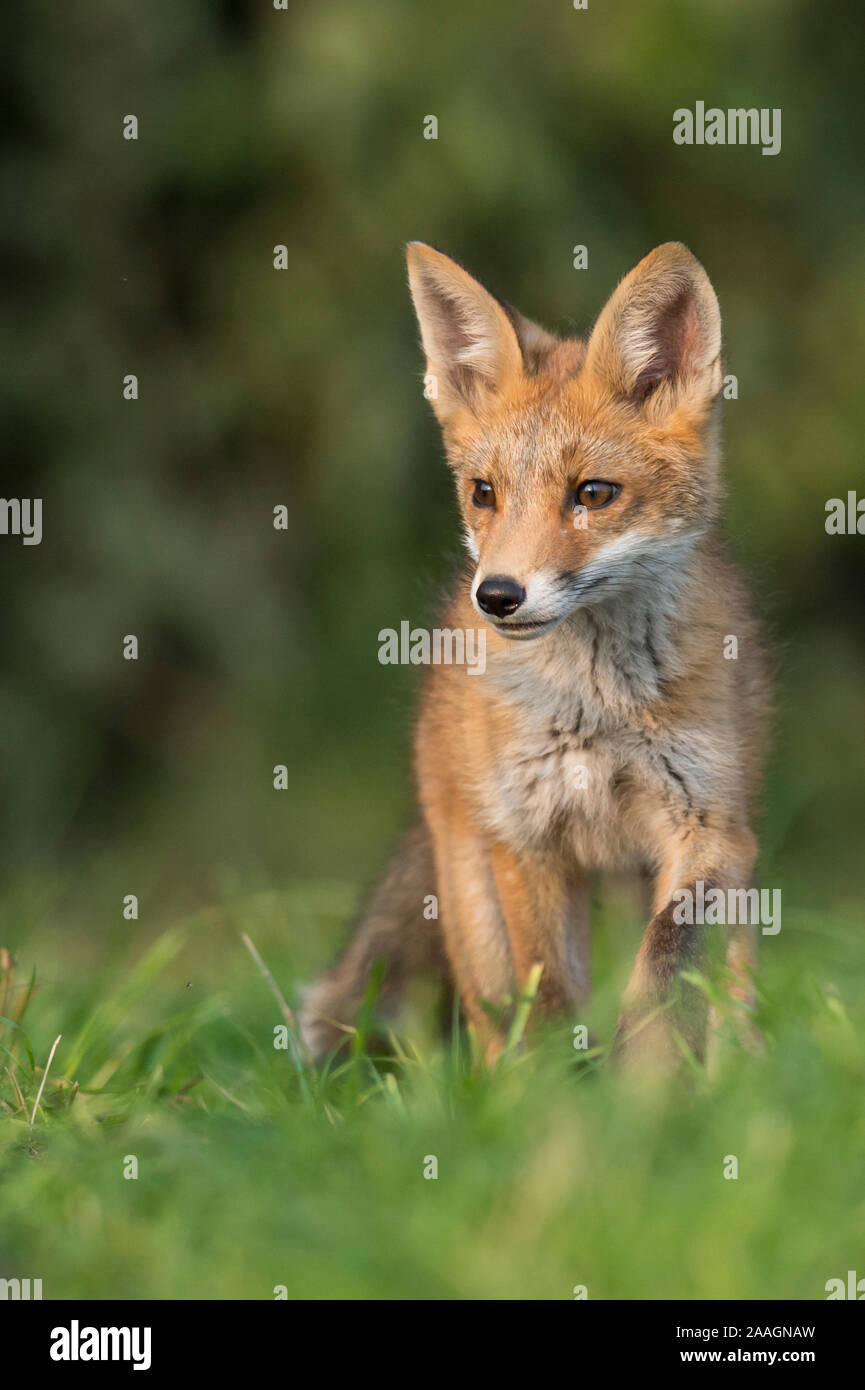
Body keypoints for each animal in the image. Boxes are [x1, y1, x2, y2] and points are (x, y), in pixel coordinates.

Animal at [301, 241, 771, 1067]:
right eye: (483, 493)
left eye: (594, 493)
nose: (497, 595)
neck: (600, 710)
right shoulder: (531, 841)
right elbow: (547, 986)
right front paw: (554, 1089)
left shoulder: (708, 828)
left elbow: (665, 963)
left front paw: (648, 1081)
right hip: (472, 883)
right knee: (494, 1010)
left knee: (729, 993)